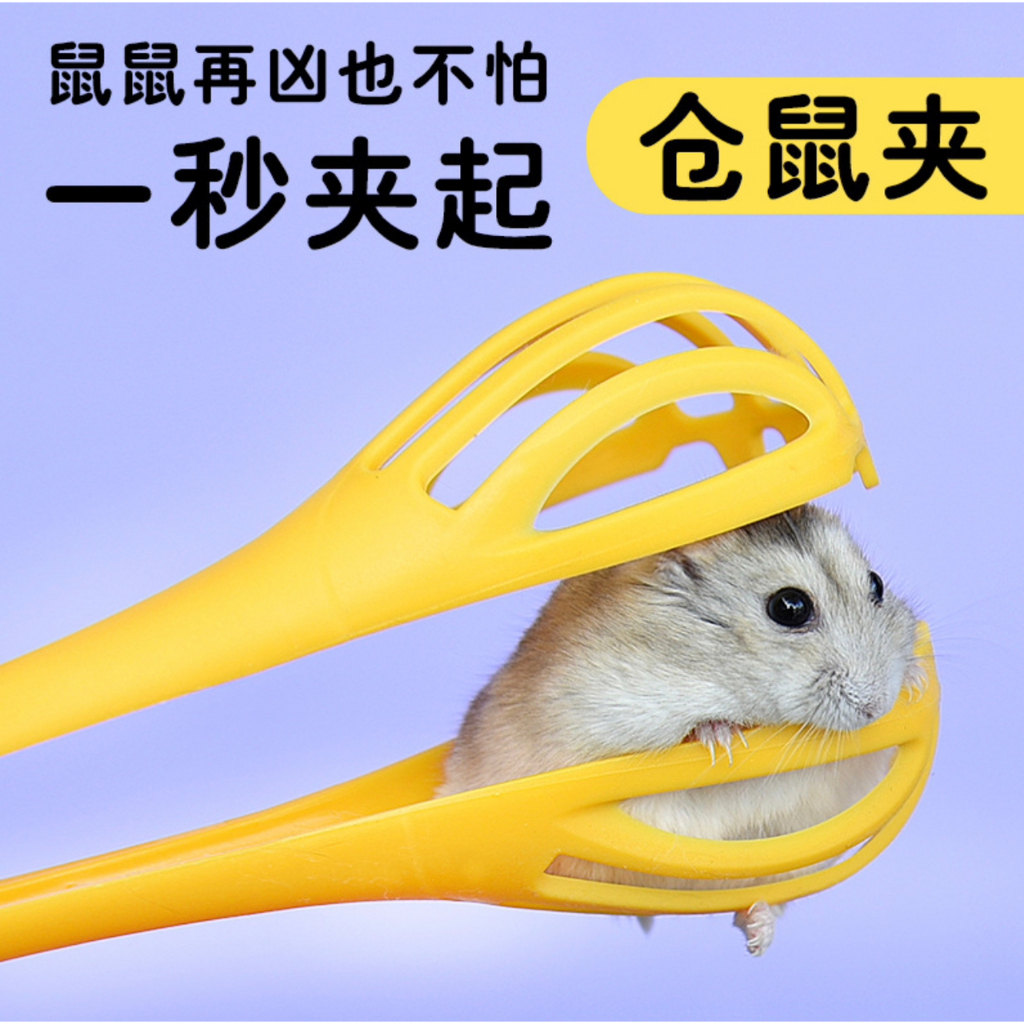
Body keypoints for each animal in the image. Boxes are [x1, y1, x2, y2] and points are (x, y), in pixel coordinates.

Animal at [439, 504, 921, 955]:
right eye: (789, 607)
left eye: (876, 585)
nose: (876, 707)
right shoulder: (592, 726)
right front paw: (721, 737)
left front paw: (914, 683)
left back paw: (758, 936)